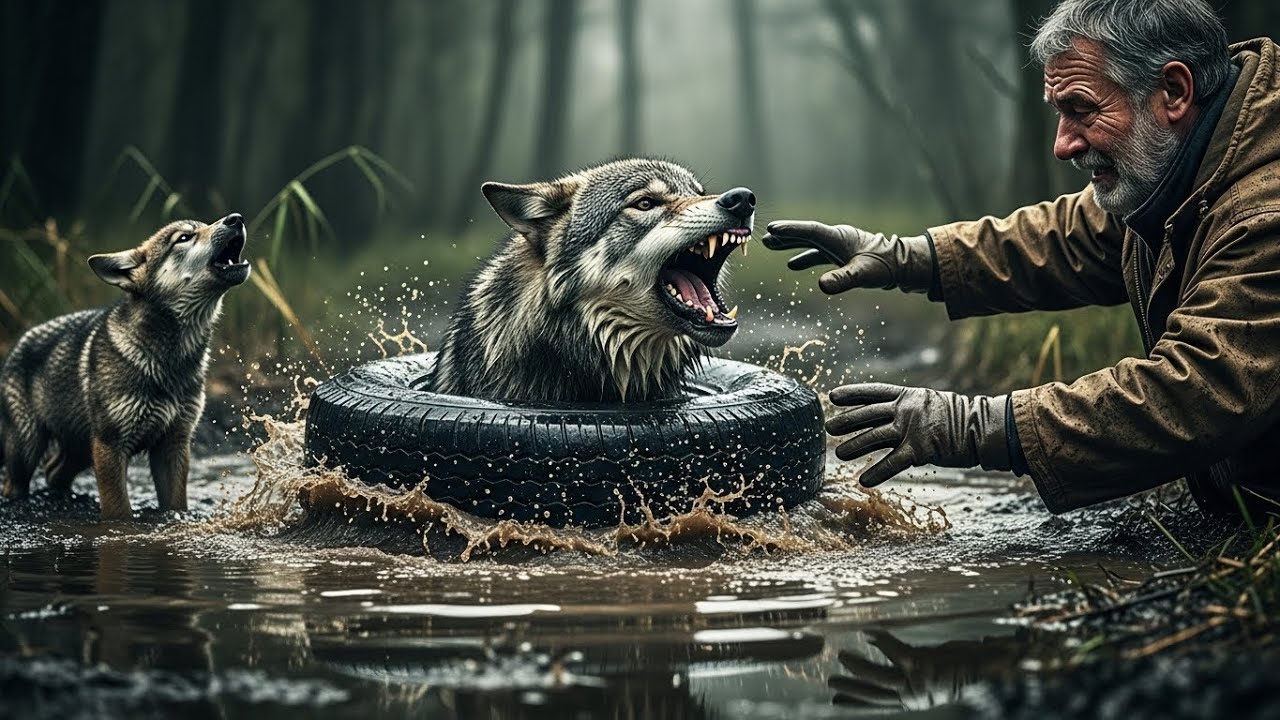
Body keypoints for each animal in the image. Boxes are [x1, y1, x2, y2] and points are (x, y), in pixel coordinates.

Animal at [0, 214, 250, 519]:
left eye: (204, 226)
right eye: (184, 237)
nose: (236, 219)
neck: (169, 361)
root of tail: (21, 340)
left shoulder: (174, 444)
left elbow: (176, 504)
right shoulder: (111, 446)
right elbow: (119, 510)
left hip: (80, 449)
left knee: (53, 472)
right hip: (28, 448)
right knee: (17, 483)